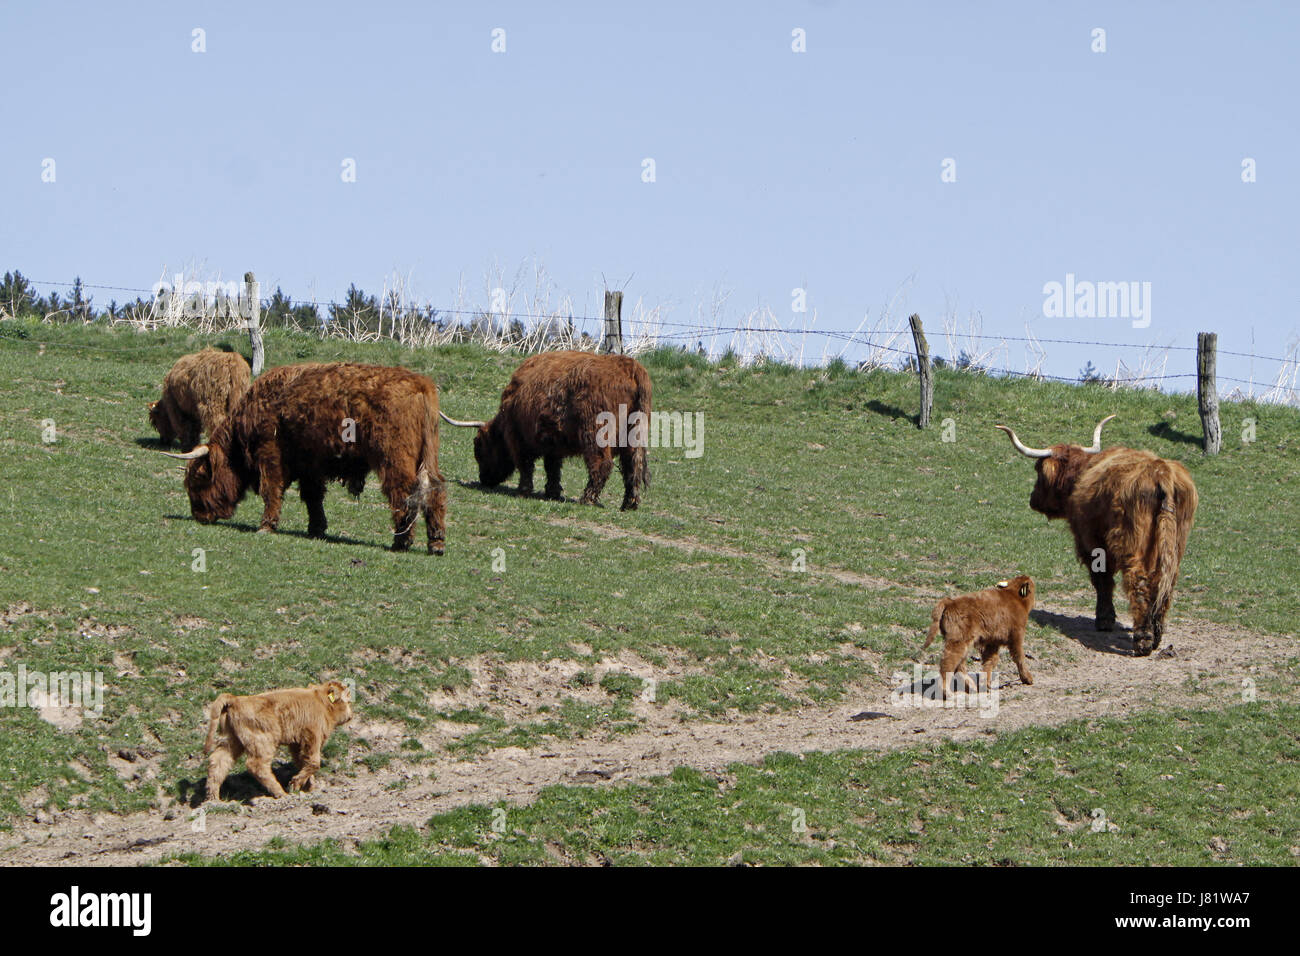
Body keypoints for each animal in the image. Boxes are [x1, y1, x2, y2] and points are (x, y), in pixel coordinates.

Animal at [161, 362, 447, 554]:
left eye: (199, 477)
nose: (199, 515)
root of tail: (420, 383)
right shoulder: (310, 466)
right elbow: (313, 498)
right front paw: (317, 529)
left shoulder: (271, 456)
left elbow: (271, 491)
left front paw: (266, 526)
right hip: (428, 458)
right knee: (434, 490)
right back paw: (436, 543)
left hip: (393, 460)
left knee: (404, 494)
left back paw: (401, 541)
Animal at [440, 350, 651, 511]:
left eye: (479, 450)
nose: (483, 479)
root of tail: (629, 366)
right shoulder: (553, 443)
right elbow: (552, 468)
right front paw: (552, 493)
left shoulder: (518, 439)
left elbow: (526, 466)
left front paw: (524, 490)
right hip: (634, 436)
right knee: (633, 466)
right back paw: (629, 504)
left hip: (596, 434)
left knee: (602, 464)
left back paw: (587, 499)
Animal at [996, 415, 1198, 656]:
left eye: (1038, 471)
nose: (1032, 499)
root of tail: (1161, 471)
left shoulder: (1090, 543)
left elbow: (1102, 580)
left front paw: (1104, 620)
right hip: (1175, 544)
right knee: (1166, 582)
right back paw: (1157, 635)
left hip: (1132, 543)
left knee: (1138, 579)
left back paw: (1143, 640)